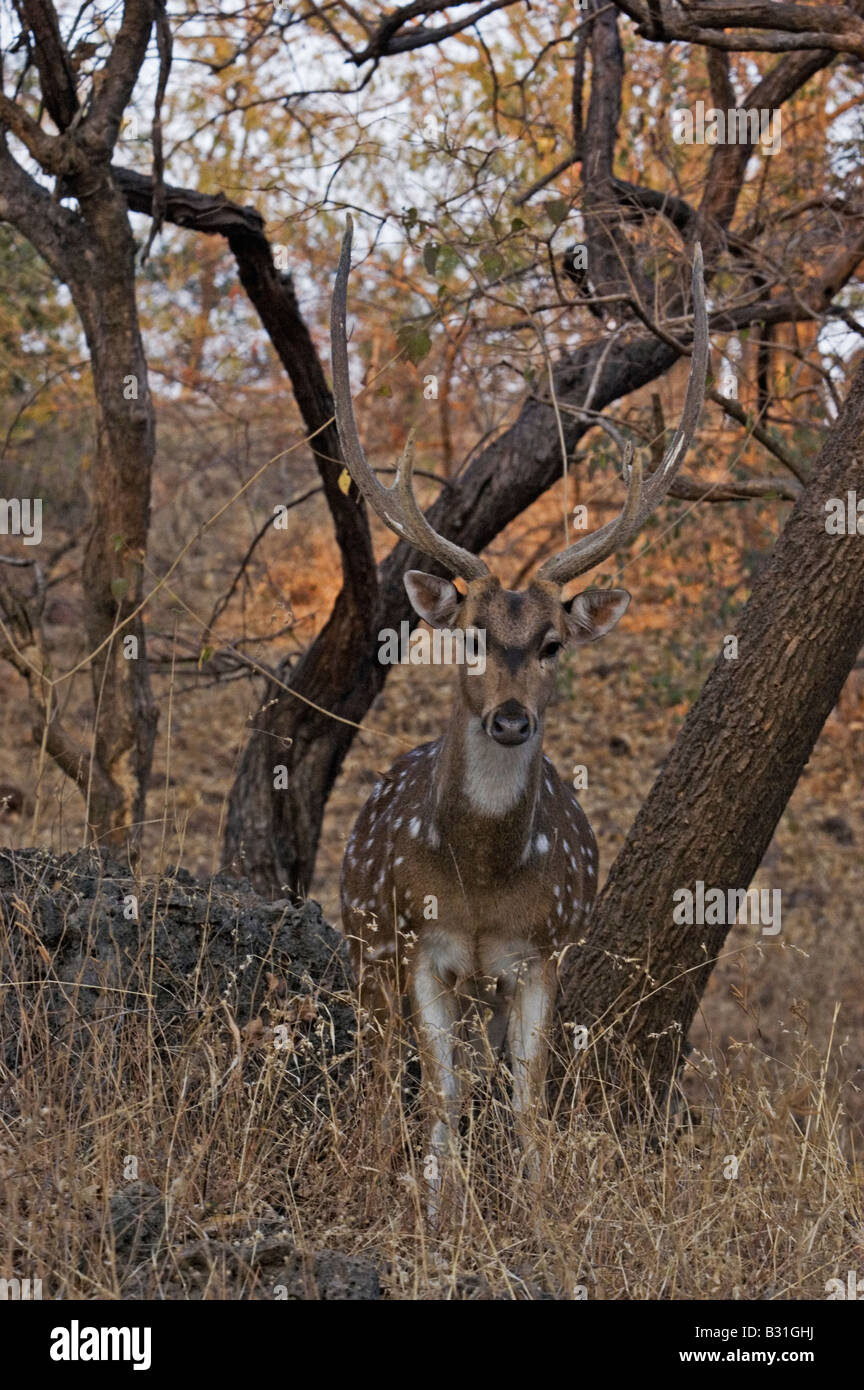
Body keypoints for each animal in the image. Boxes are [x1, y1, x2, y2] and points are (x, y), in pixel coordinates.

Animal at [332, 216, 708, 1199]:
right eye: (469, 636)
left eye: (551, 644)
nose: (509, 719)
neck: (480, 887)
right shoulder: (418, 946)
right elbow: (441, 1095)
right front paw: (433, 1208)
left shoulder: (543, 951)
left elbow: (528, 1099)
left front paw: (534, 1207)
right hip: (361, 934)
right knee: (379, 1071)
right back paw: (369, 1164)